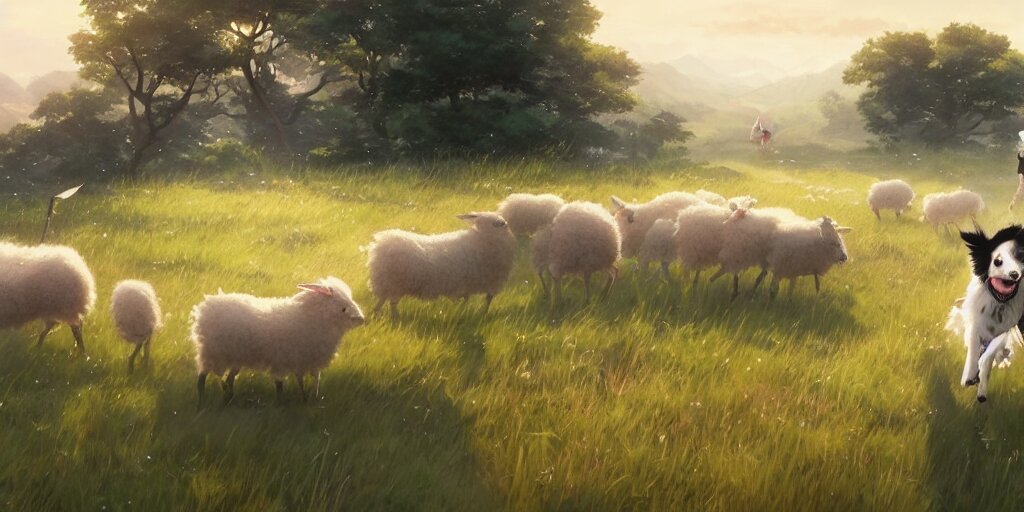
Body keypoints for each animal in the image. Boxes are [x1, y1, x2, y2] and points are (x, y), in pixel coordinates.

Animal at [191, 277, 365, 405]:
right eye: (343, 308)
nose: (361, 319)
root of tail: (208, 304)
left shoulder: (302, 361)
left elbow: (302, 384)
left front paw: (305, 400)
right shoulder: (283, 360)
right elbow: (280, 387)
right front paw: (281, 404)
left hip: (235, 356)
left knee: (228, 381)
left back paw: (229, 399)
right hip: (211, 353)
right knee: (201, 379)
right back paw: (201, 403)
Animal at [368, 212, 516, 321]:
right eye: (496, 223)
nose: (505, 224)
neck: (480, 239)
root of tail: (381, 245)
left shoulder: (467, 285)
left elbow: (467, 300)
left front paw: (465, 312)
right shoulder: (485, 282)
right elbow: (482, 301)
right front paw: (478, 313)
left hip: (388, 284)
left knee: (383, 301)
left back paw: (378, 315)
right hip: (394, 283)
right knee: (391, 303)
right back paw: (395, 318)